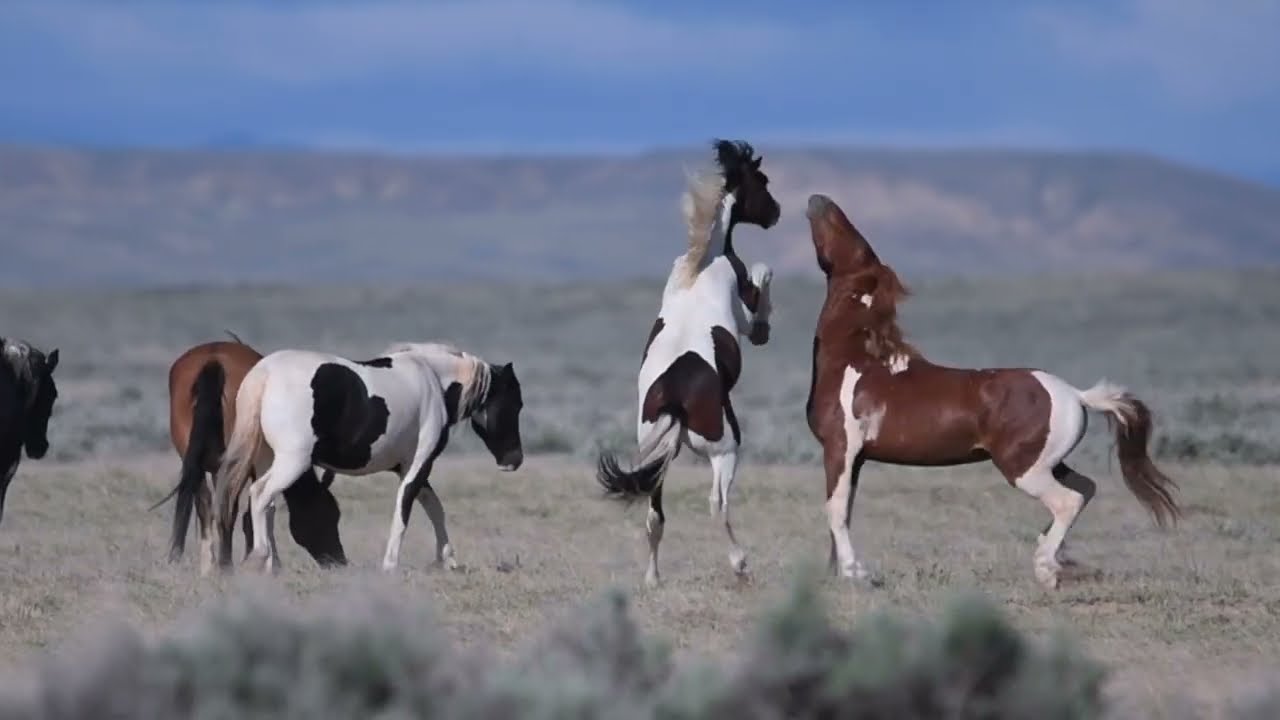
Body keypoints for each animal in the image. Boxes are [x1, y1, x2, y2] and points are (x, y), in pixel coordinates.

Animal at [152, 333, 347, 575]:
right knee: (228, 507)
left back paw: (210, 567)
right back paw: (225, 566)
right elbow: (261, 510)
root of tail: (214, 359)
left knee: (207, 503)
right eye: (328, 515)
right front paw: (270, 565)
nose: (338, 562)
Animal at [213, 341, 524, 573]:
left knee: (267, 505)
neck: (433, 380)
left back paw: (272, 565)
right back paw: (260, 556)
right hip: (293, 462)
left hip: (269, 460)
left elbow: (433, 507)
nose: (515, 460)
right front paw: (391, 565)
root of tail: (265, 374)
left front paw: (447, 559)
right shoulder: (419, 465)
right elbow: (405, 509)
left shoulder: (406, 467)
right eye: (515, 403)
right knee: (259, 494)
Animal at [595, 139, 781, 587]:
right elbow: (763, 276)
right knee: (717, 503)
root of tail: (675, 400)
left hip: (657, 456)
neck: (703, 263)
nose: (776, 212)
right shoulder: (745, 315)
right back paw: (740, 564)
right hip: (725, 449)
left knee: (654, 513)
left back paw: (652, 578)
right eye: (762, 181)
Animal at [803, 193, 1181, 590]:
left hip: (1023, 469)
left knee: (1068, 500)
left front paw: (853, 572)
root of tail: (1077, 395)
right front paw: (835, 573)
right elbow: (845, 509)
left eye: (854, 241)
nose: (818, 200)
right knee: (1086, 489)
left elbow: (835, 509)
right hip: (1049, 463)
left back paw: (1046, 569)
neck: (856, 361)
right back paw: (1049, 554)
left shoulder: (841, 448)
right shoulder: (856, 458)